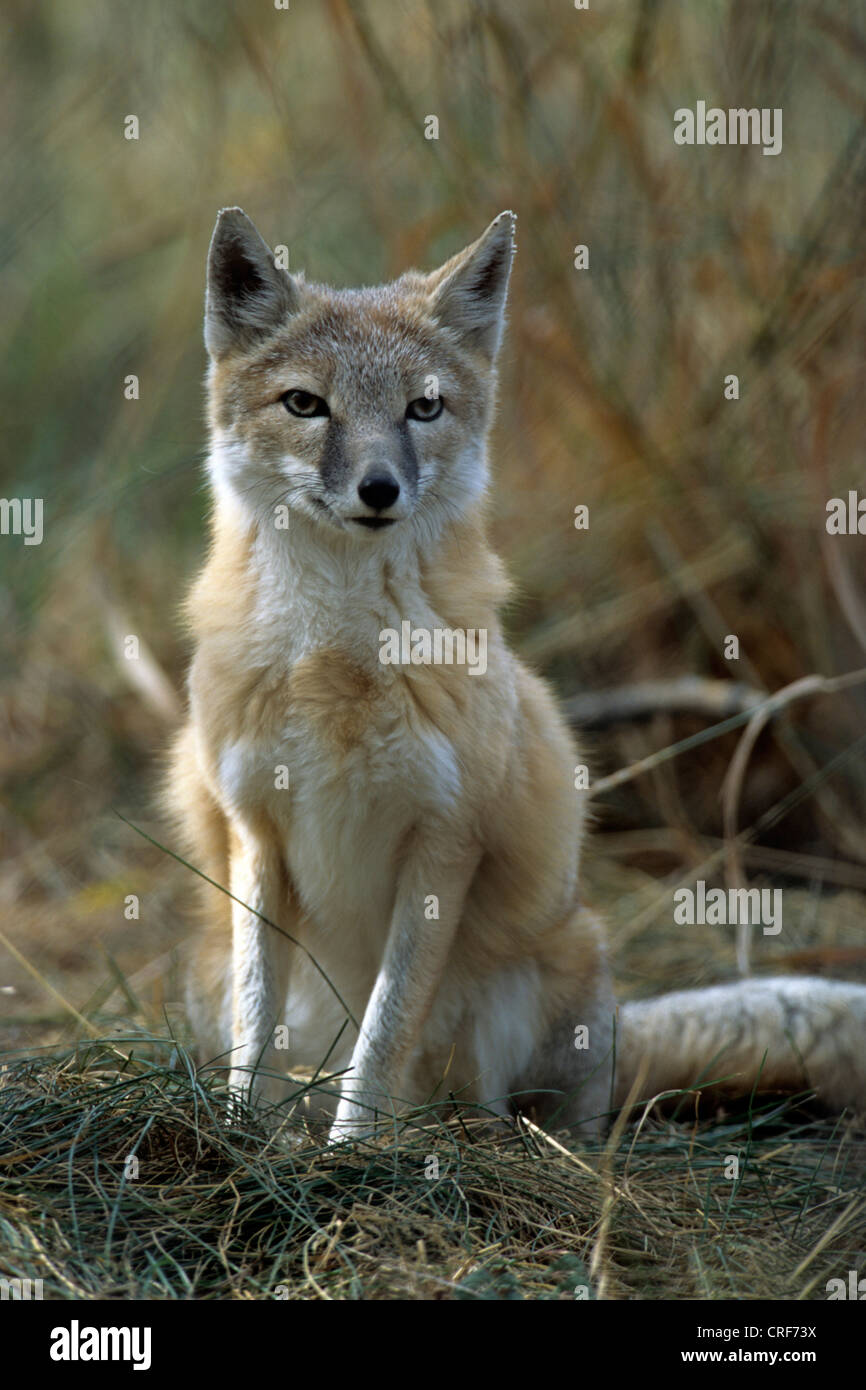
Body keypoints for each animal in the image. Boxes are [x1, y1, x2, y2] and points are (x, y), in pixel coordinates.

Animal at [166, 206, 866, 1142]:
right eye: (305, 404)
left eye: (424, 408)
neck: (337, 661)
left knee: (505, 1108)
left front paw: (350, 1152)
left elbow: (385, 1029)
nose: (379, 489)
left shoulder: (442, 842)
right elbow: (257, 1021)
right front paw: (243, 1140)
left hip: (535, 993)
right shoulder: (256, 835)